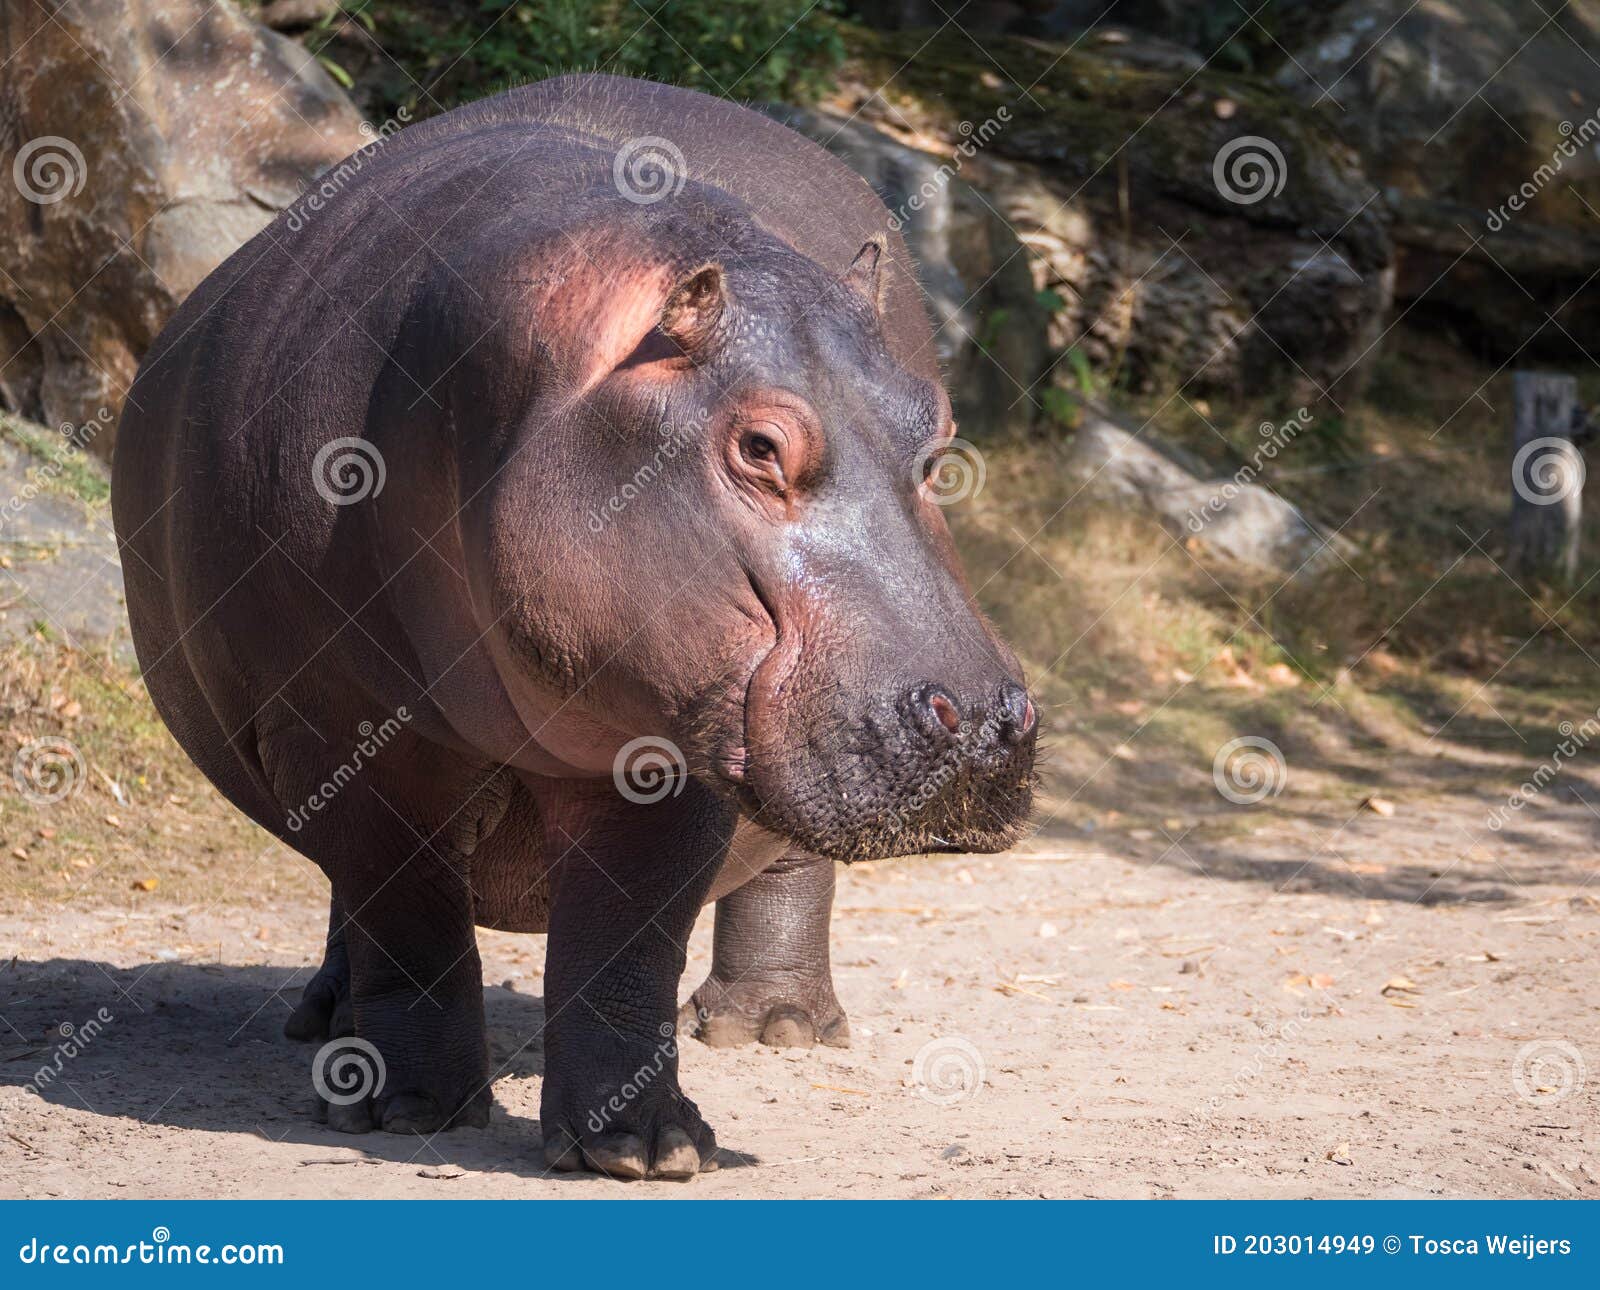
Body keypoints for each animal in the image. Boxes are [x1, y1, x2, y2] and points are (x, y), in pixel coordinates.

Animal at [111, 74, 1037, 1180]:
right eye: (760, 445)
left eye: (938, 438)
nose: (984, 721)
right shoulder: (333, 728)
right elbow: (404, 911)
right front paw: (410, 1111)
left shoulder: (671, 734)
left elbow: (625, 946)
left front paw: (647, 1148)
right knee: (358, 899)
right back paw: (330, 1028)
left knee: (793, 867)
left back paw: (774, 1028)